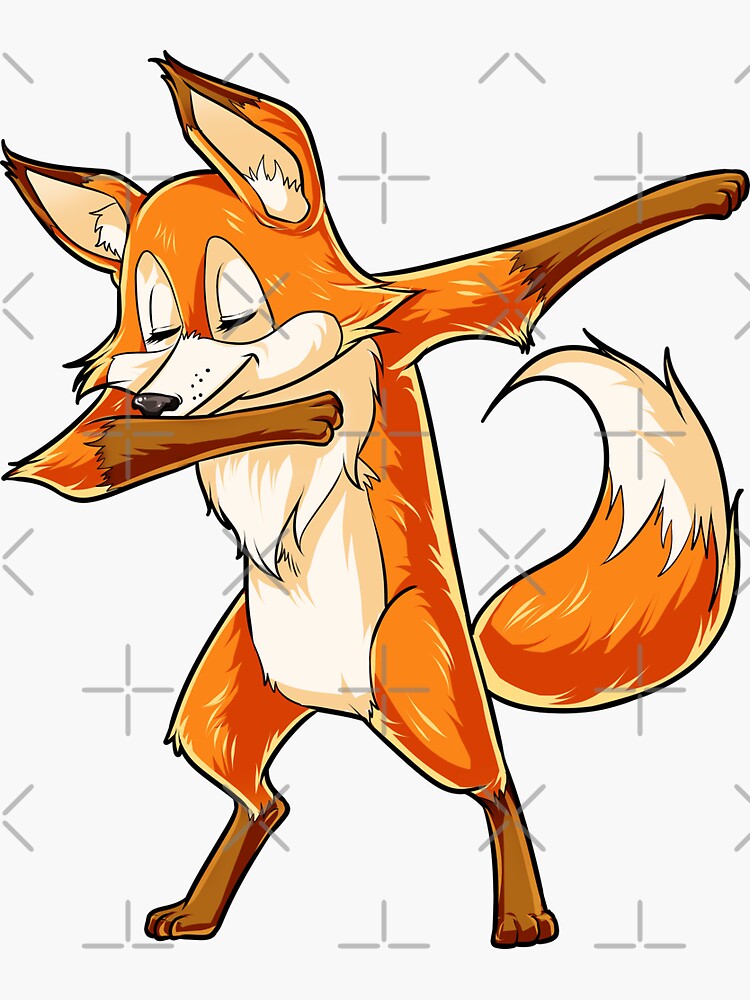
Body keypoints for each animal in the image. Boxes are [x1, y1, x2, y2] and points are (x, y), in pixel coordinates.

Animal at [2, 53, 746, 948]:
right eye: (155, 326)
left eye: (234, 312)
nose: (155, 403)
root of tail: (337, 701)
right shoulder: (123, 434)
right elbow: (102, 457)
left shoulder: (425, 314)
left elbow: (525, 268)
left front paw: (713, 190)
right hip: (219, 705)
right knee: (265, 801)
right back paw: (200, 910)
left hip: (414, 674)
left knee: (496, 788)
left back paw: (522, 916)